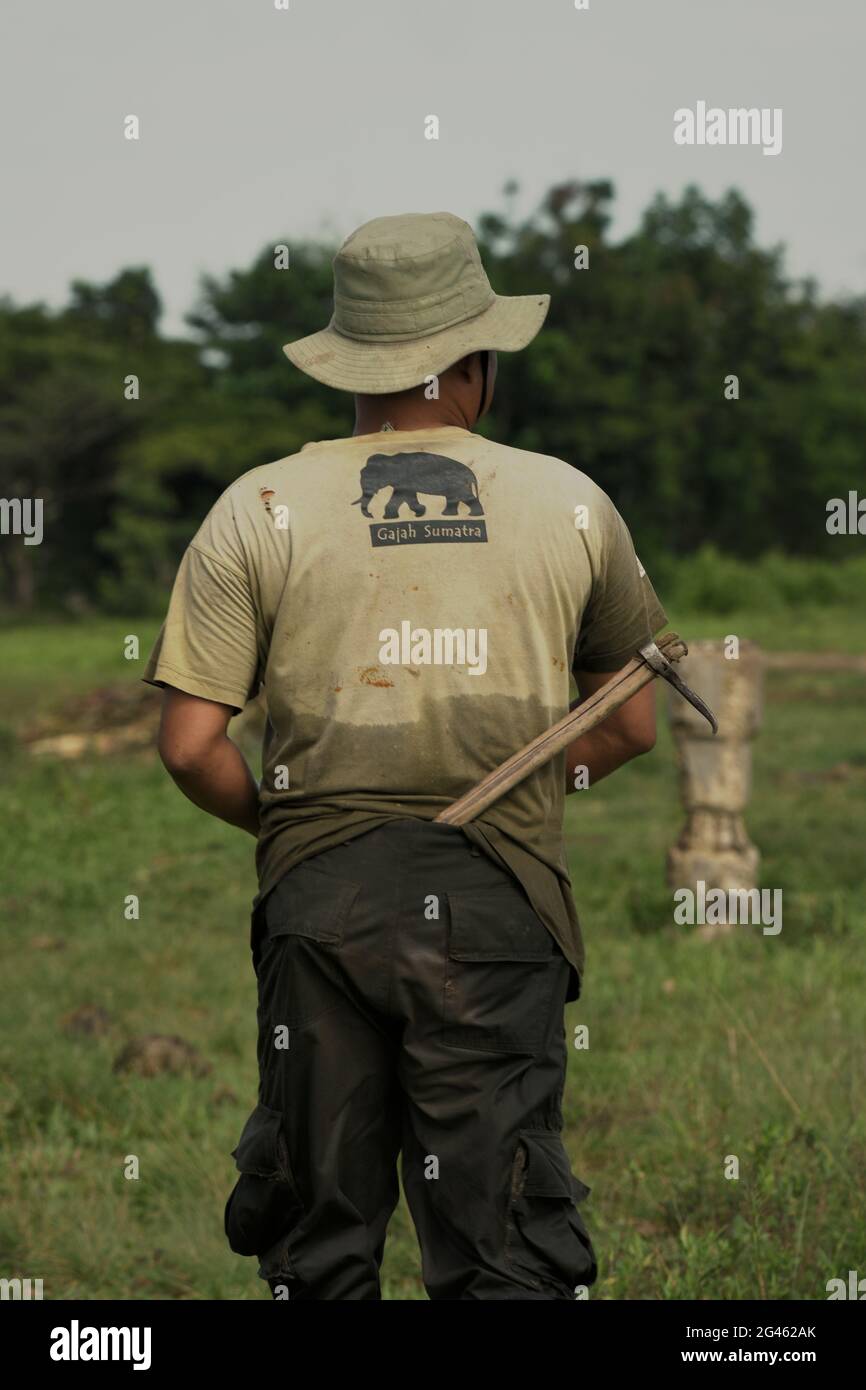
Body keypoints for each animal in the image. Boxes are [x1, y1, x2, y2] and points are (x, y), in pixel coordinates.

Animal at [351, 451, 484, 520]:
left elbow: (401, 496)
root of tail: (470, 473)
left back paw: (474, 515)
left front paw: (387, 518)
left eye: (373, 478)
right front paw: (420, 512)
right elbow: (408, 496)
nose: (372, 515)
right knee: (453, 498)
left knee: (466, 497)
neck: (389, 458)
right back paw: (448, 515)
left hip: (458, 484)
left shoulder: (405, 479)